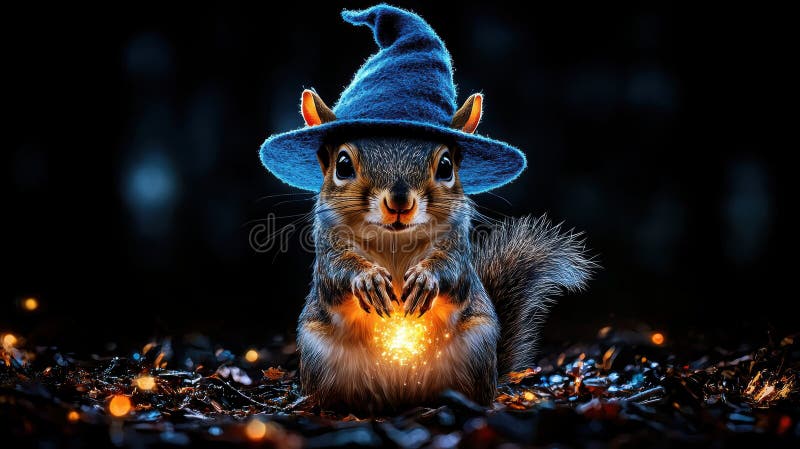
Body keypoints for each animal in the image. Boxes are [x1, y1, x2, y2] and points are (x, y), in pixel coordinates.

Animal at [294, 93, 593, 412]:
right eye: (343, 165)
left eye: (446, 166)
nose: (399, 201)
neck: (394, 241)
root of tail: (400, 395)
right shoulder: (328, 248)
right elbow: (335, 274)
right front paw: (369, 279)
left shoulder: (457, 249)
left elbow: (453, 272)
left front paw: (425, 281)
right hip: (318, 358)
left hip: (475, 351)